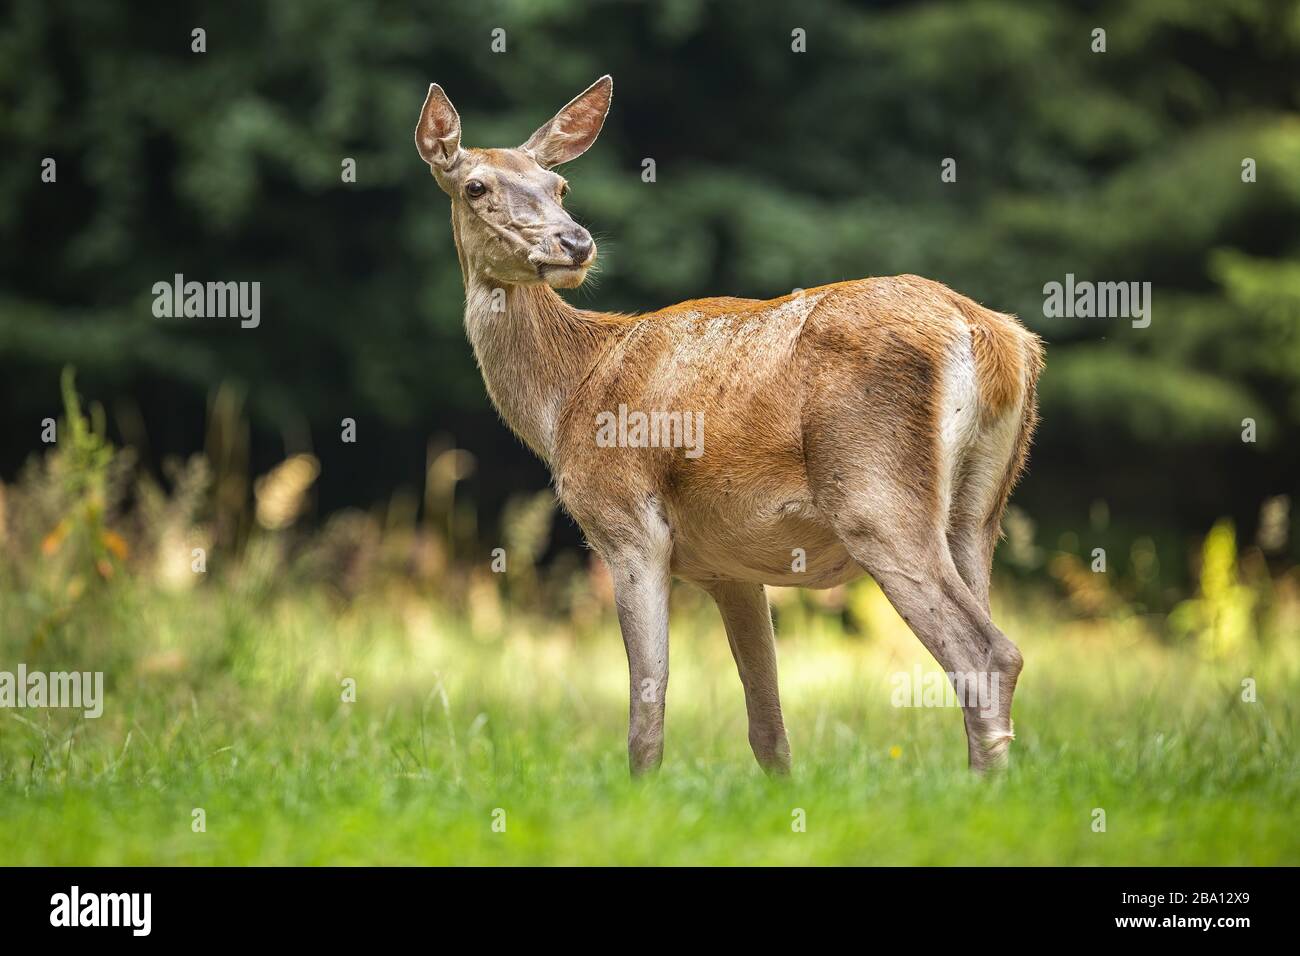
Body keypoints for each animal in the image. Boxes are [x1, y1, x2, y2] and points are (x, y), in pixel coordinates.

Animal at [415, 75, 1044, 776]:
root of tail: (993, 336)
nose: (575, 244)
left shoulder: (626, 524)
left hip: (874, 495)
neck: (567, 398)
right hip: (979, 512)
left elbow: (646, 718)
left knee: (988, 653)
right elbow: (769, 732)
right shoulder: (731, 567)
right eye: (476, 186)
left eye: (560, 186)